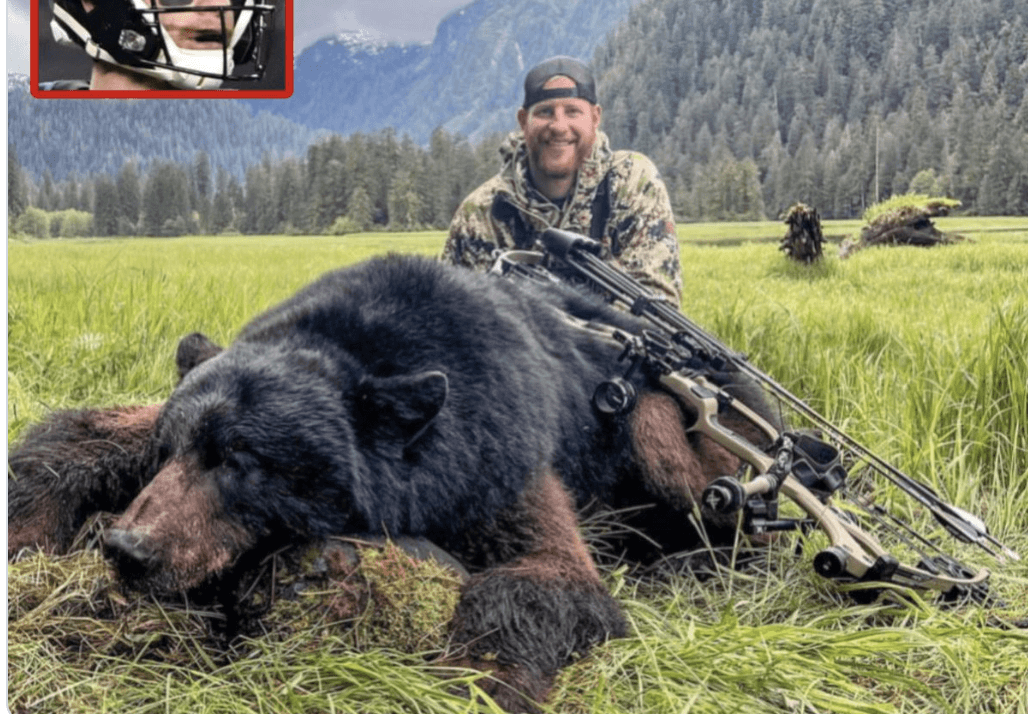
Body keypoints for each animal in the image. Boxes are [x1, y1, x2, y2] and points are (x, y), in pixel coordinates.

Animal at [8, 253, 776, 711]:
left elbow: (548, 579)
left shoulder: (497, 449)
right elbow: (82, 436)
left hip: (670, 421)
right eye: (177, 450)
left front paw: (473, 684)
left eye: (242, 460)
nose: (129, 549)